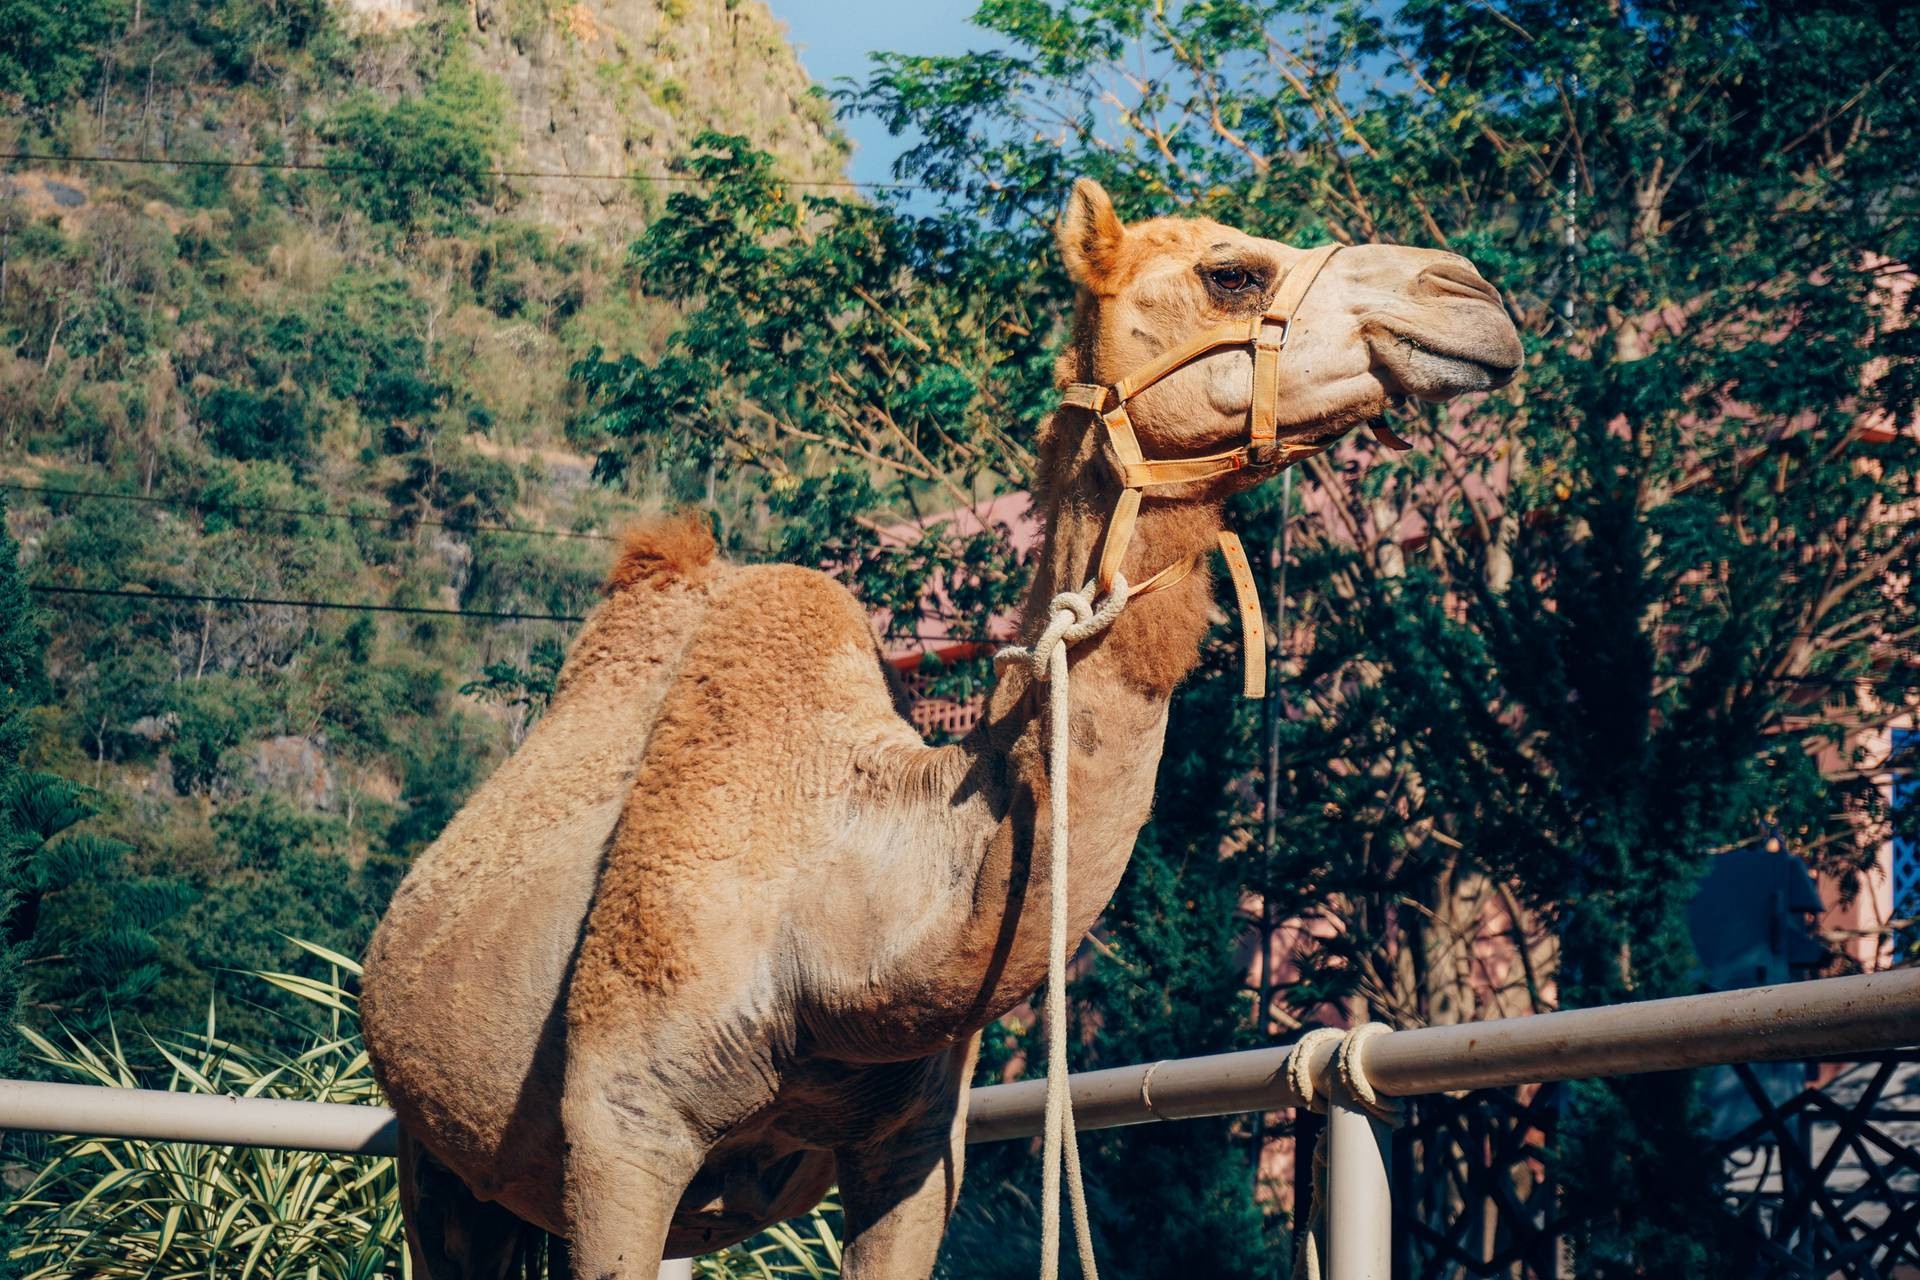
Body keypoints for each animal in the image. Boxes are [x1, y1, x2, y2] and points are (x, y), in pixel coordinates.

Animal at [360, 179, 1522, 1280]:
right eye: (1232, 272)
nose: (1473, 296)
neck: (833, 923)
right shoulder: (622, 1131)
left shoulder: (914, 1148)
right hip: (439, 1152)